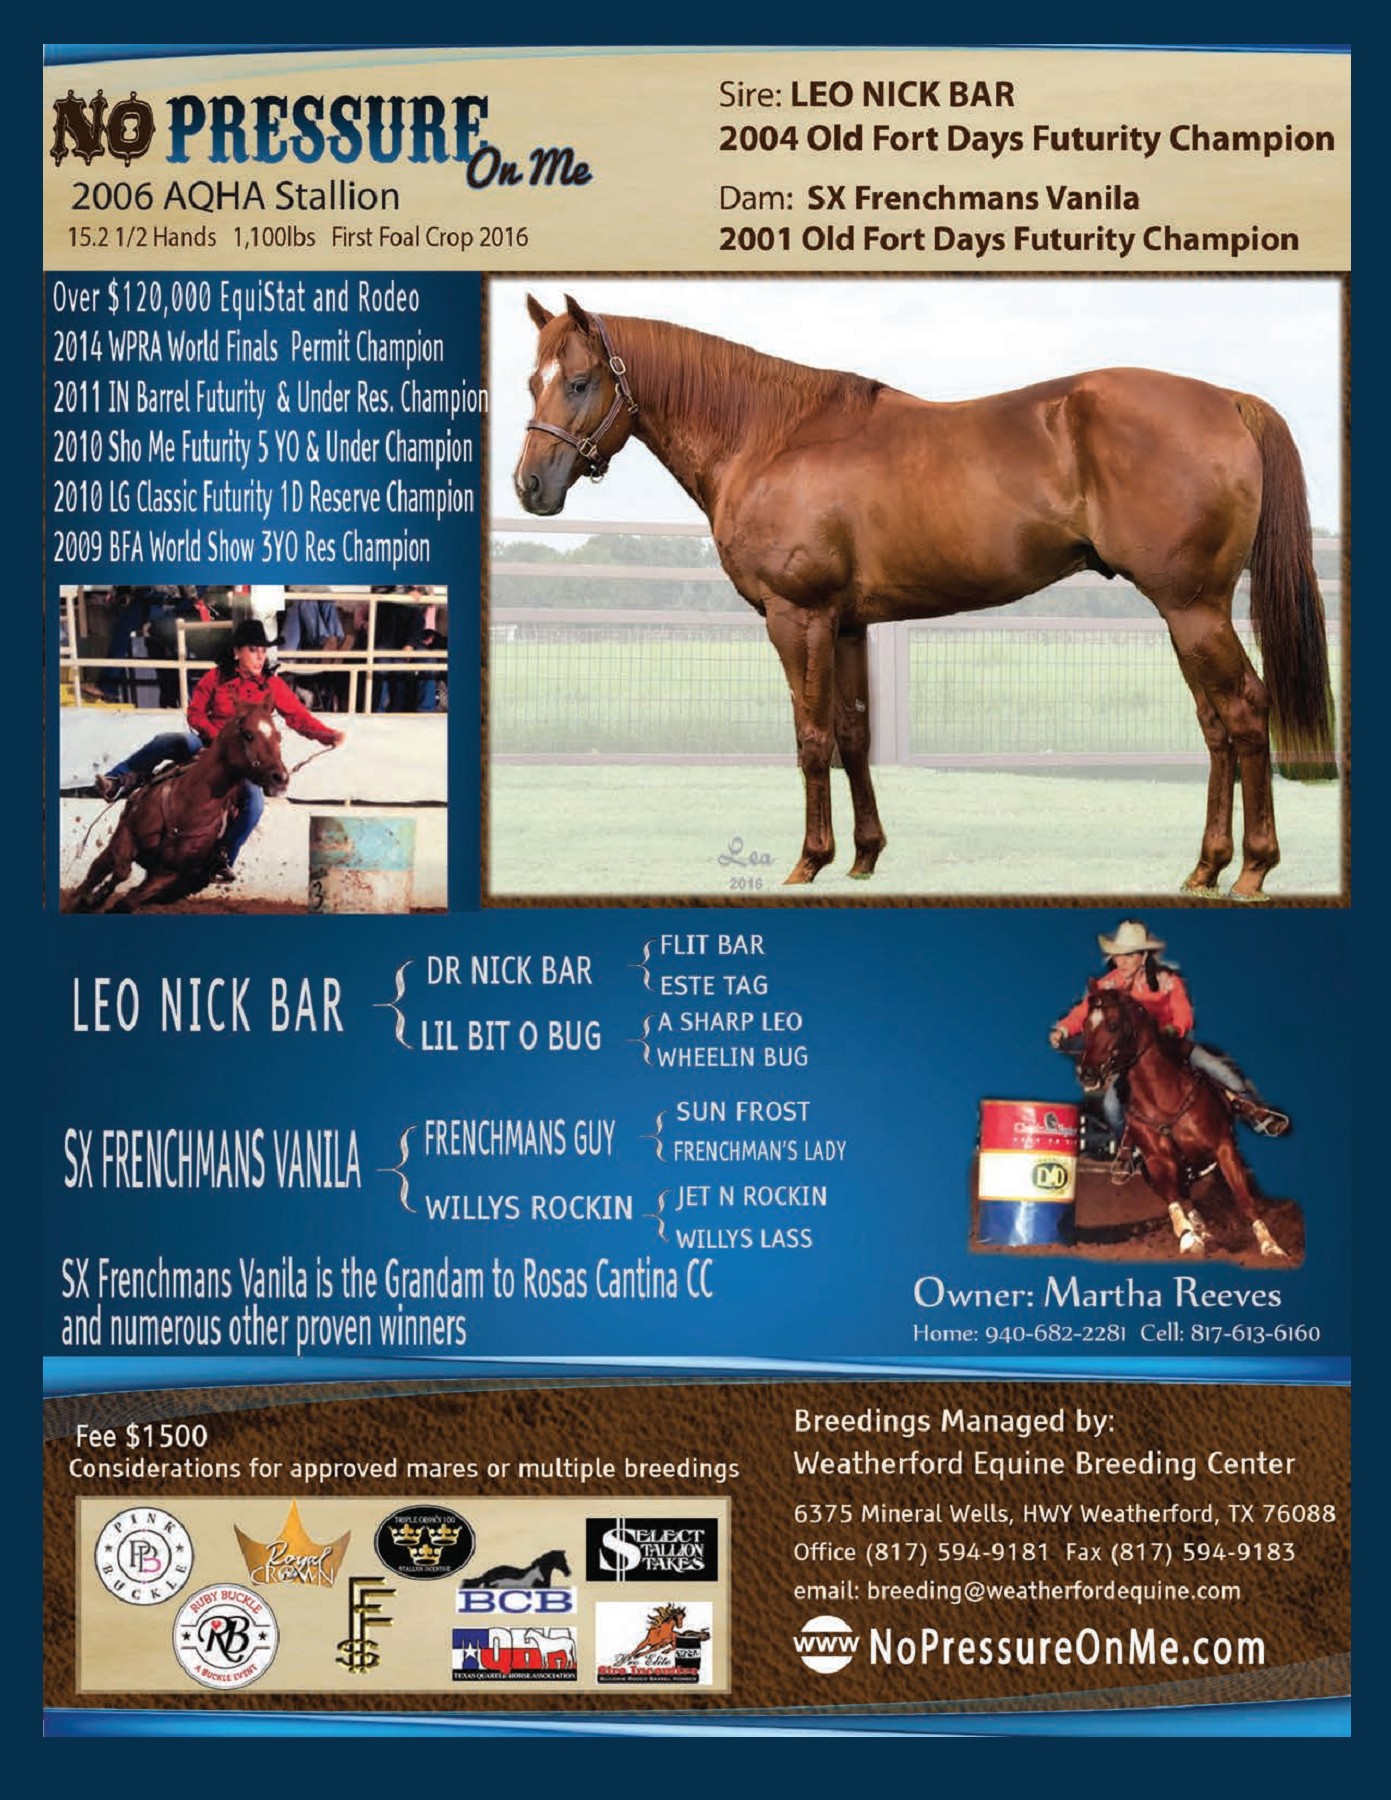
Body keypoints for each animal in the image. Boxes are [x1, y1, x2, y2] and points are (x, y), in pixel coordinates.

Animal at [69, 704, 289, 912]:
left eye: (279, 736)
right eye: (248, 735)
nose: (280, 777)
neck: (191, 803)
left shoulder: (168, 874)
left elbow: (128, 900)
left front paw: (100, 899)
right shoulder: (127, 834)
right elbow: (121, 871)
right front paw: (94, 898)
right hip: (116, 840)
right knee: (95, 872)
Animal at [513, 295, 1336, 898]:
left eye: (580, 381)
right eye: (532, 381)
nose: (530, 487)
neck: (772, 437)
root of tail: (1227, 400)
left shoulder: (798, 617)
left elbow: (811, 738)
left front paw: (808, 861)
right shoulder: (846, 625)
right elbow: (853, 733)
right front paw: (864, 857)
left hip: (1192, 608)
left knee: (1244, 711)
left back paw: (1254, 868)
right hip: (1184, 613)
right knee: (1214, 726)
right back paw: (1204, 867)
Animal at [1077, 984, 1286, 1258]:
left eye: (1112, 1025)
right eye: (1085, 1026)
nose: (1087, 1074)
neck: (1164, 1098)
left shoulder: (1224, 1148)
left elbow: (1244, 1199)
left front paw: (1270, 1245)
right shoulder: (1157, 1162)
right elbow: (1174, 1201)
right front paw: (1188, 1237)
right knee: (1185, 1198)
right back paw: (1200, 1231)